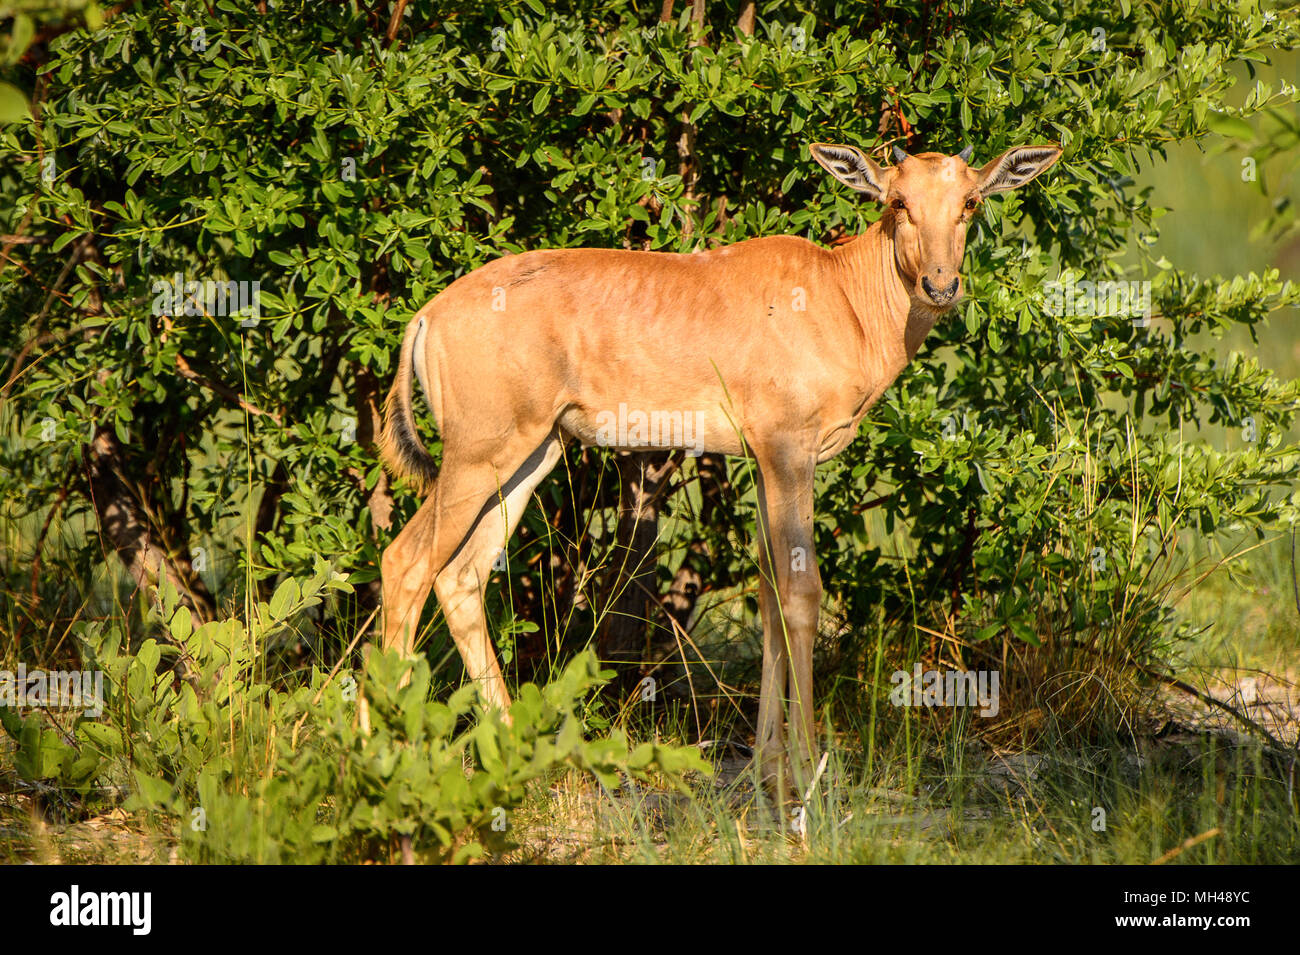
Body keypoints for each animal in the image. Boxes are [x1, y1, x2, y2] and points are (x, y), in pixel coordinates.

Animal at [376, 140, 1062, 795]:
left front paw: (766, 766)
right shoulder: (788, 453)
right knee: (404, 563)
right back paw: (387, 754)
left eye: (970, 201)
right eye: (898, 201)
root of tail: (427, 317)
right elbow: (802, 591)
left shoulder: (761, 462)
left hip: (528, 457)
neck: (837, 290)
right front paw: (807, 770)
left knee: (461, 577)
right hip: (476, 459)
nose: (940, 287)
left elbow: (766, 589)